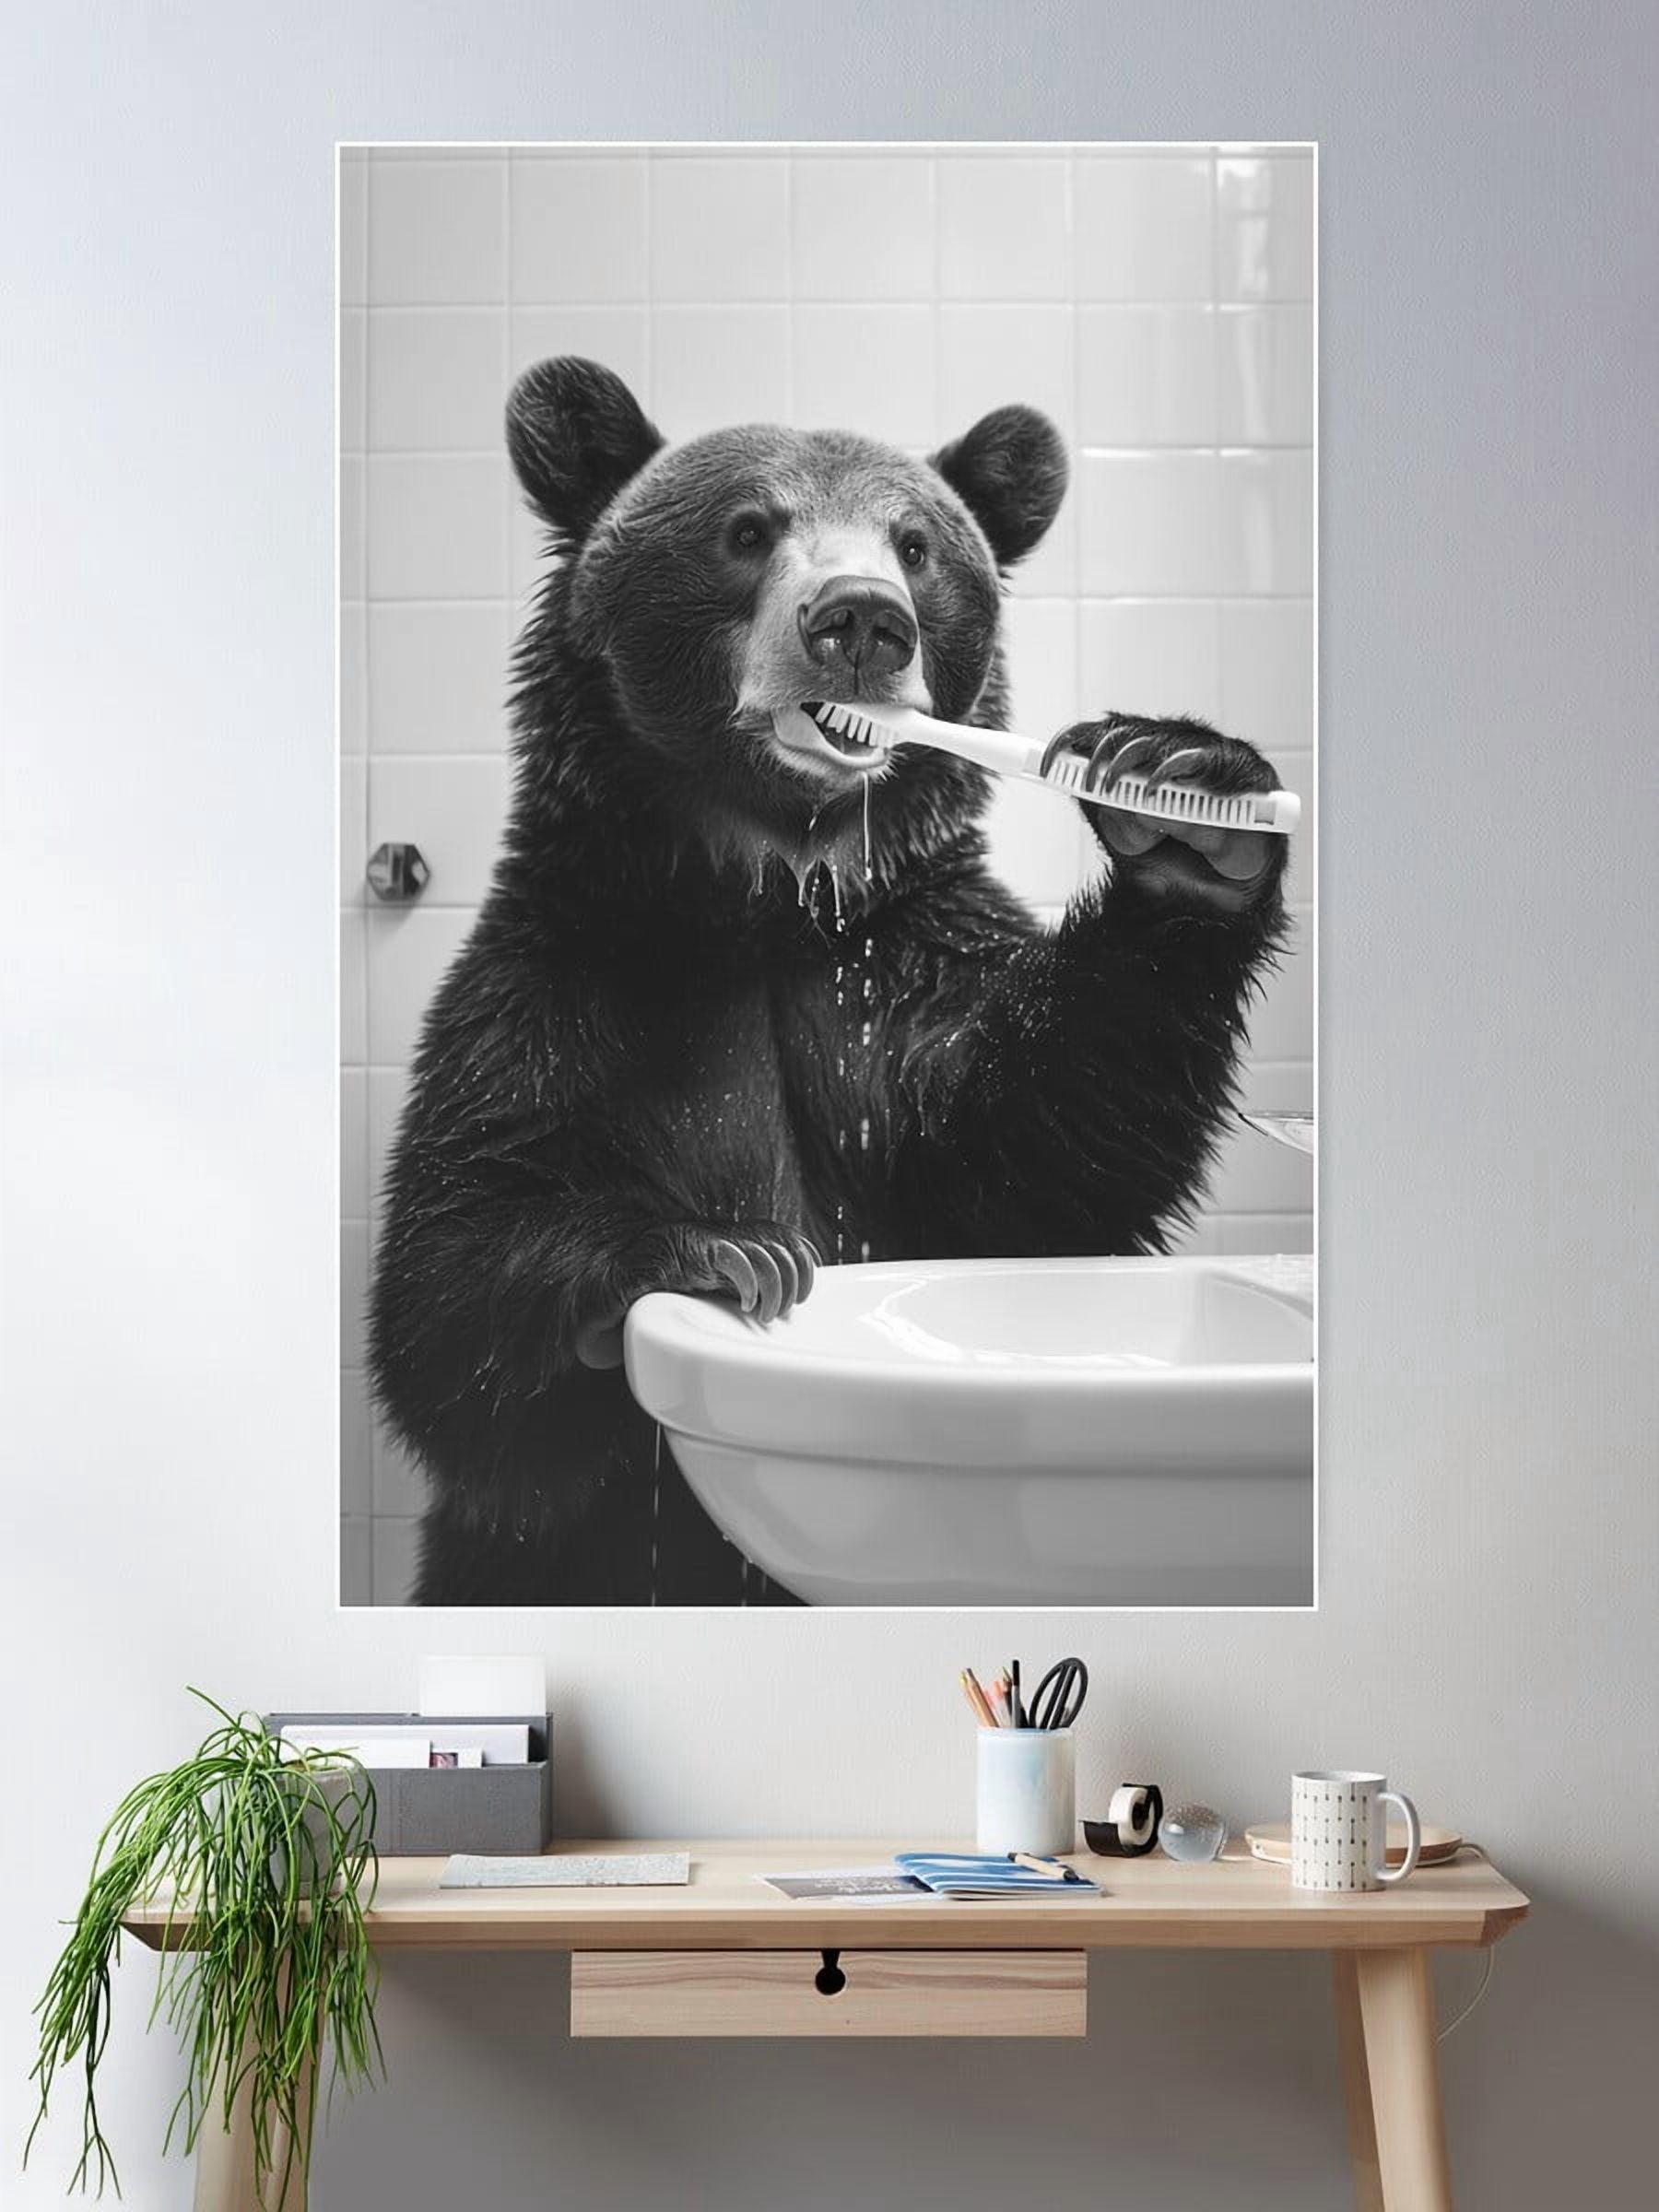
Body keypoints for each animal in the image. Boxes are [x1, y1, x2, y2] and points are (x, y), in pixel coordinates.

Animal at [369, 356, 1290, 1606]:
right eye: (748, 530)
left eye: (916, 544)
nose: (860, 620)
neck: (771, 897)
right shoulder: (568, 985)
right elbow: (452, 1289)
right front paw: (724, 1249)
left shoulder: (902, 983)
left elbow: (1042, 1152)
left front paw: (1185, 798)